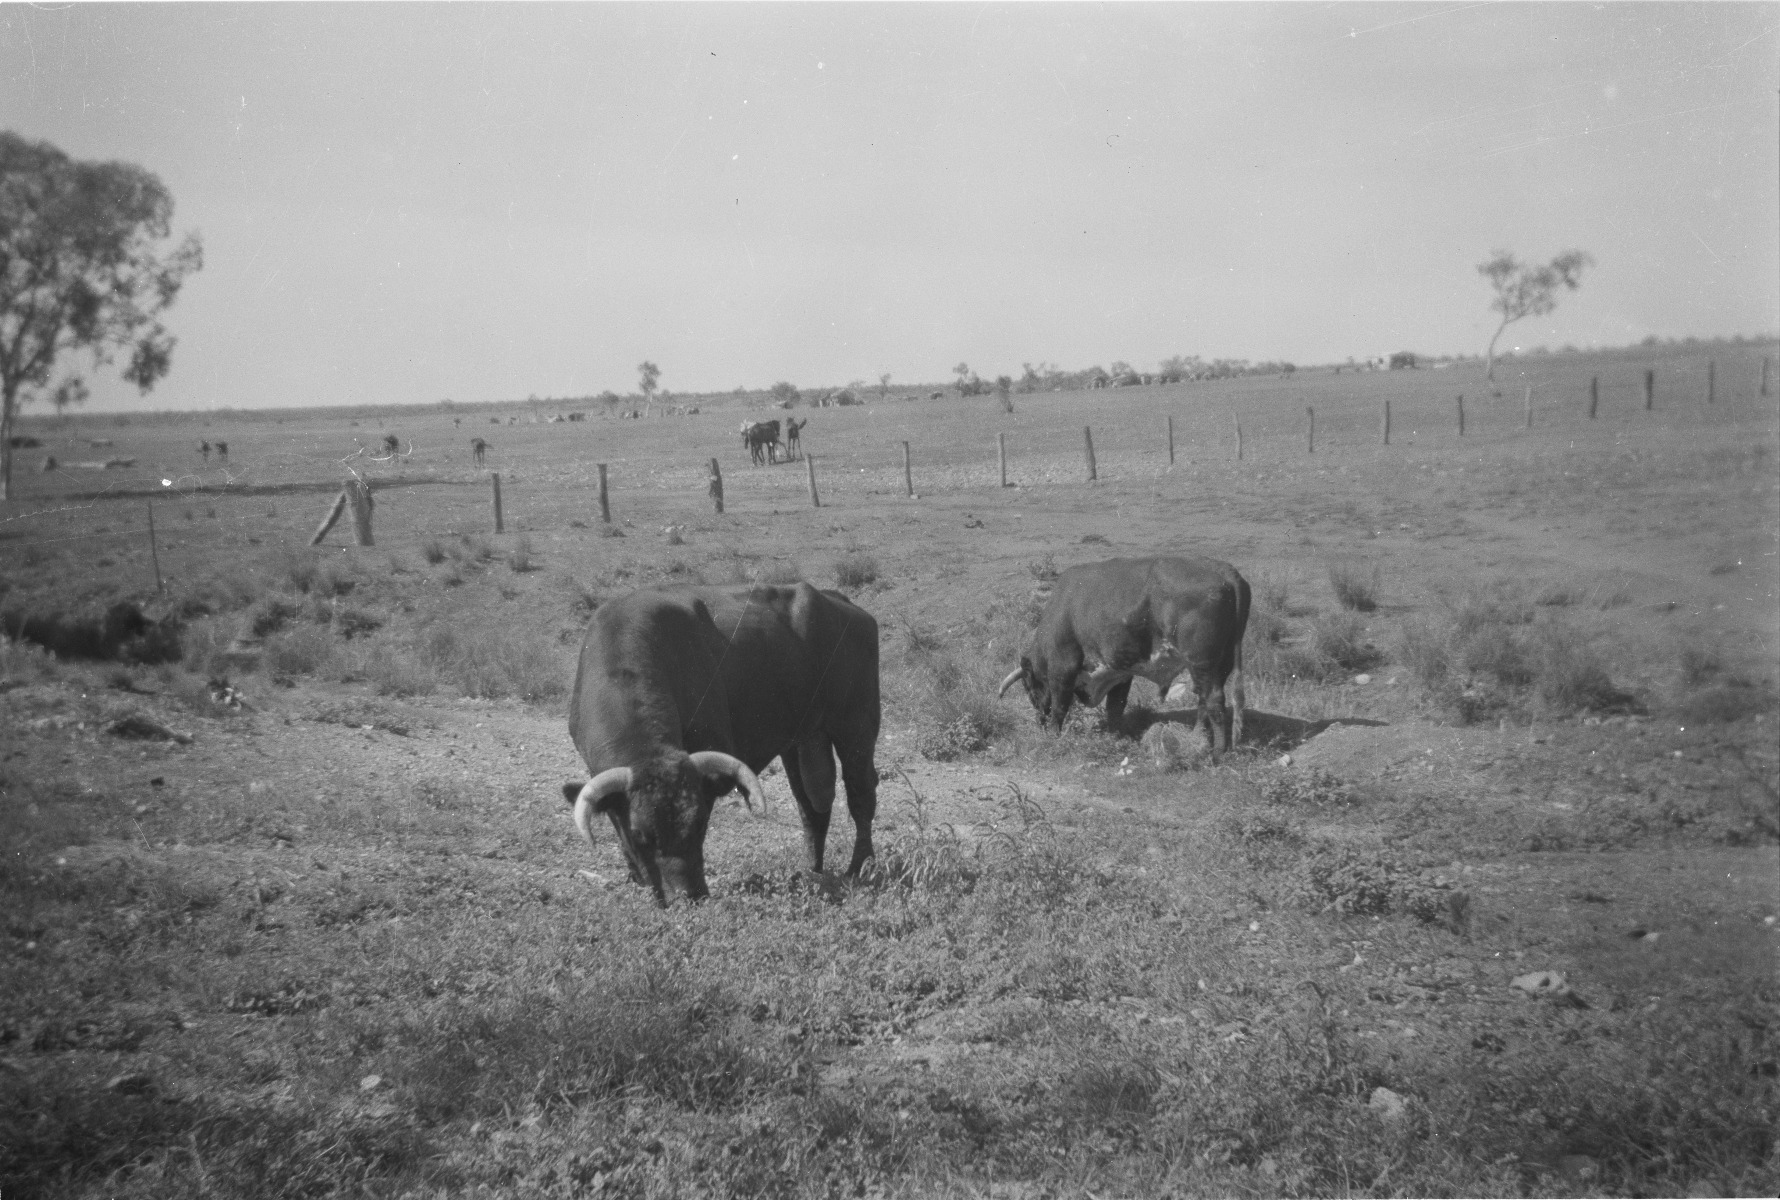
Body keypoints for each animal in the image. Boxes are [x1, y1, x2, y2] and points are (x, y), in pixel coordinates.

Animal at [562, 583, 881, 905]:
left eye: (701, 824)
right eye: (641, 835)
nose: (688, 896)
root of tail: (840, 603)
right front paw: (638, 876)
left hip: (857, 729)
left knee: (860, 798)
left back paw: (859, 867)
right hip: (802, 742)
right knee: (812, 806)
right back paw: (811, 869)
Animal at [997, 556, 1250, 754]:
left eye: (1028, 685)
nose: (1039, 719)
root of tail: (1225, 571)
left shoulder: (1062, 670)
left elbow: (1060, 707)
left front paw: (1053, 735)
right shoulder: (1120, 673)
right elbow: (1115, 708)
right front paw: (1114, 736)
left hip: (1202, 663)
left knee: (1214, 700)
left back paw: (1217, 751)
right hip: (1221, 664)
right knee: (1203, 700)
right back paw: (1197, 738)